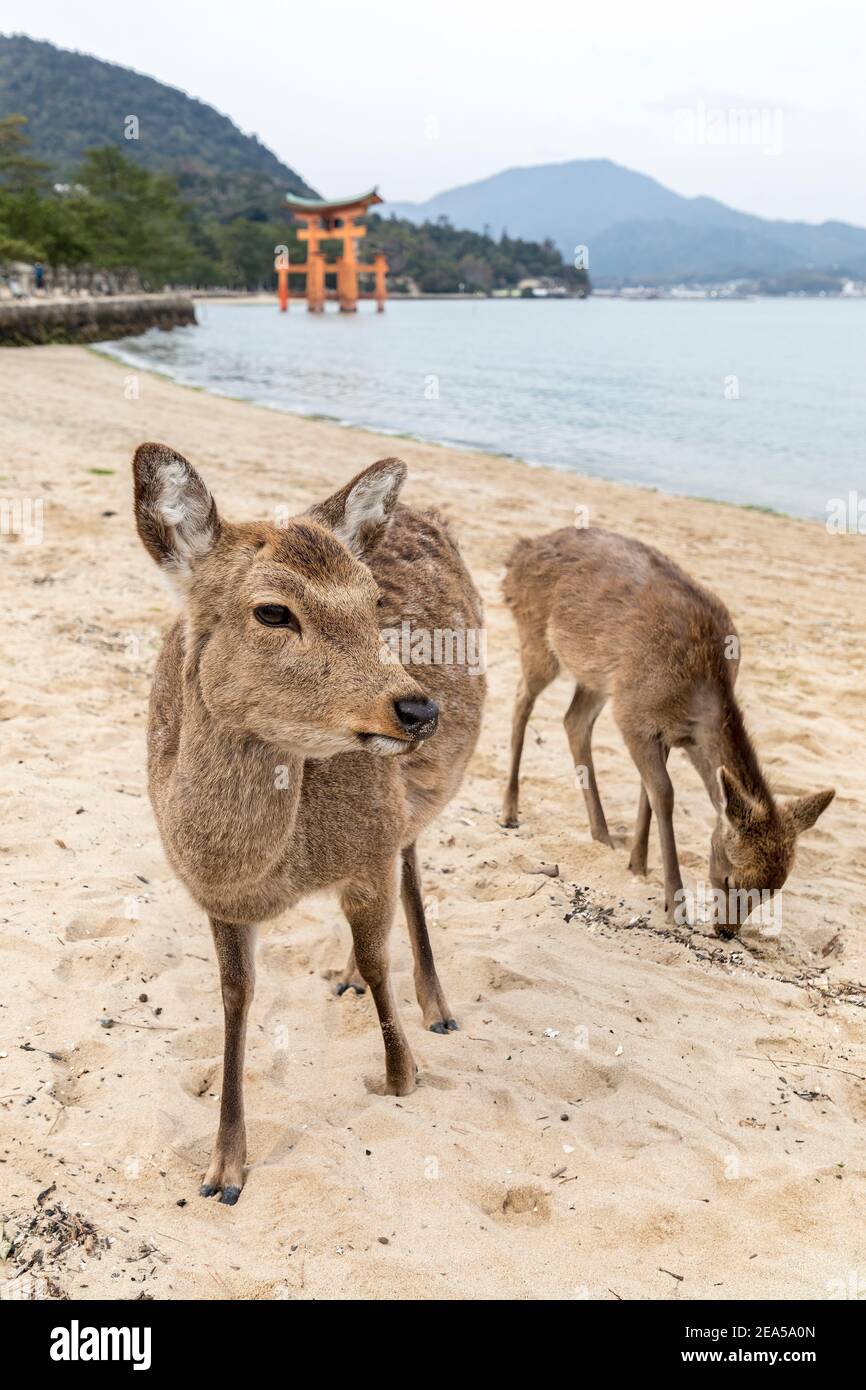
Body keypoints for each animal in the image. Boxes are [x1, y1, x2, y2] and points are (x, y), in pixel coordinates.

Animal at [132, 443, 485, 1204]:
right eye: (272, 611)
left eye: (374, 601)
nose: (418, 709)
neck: (273, 870)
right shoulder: (218, 899)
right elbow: (236, 997)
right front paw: (224, 1170)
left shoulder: (372, 839)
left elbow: (382, 956)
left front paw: (402, 1074)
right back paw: (345, 974)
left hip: (412, 804)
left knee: (413, 864)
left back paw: (437, 1004)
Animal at [501, 525, 834, 935]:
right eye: (730, 878)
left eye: (771, 892)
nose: (726, 932)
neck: (699, 693)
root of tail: (518, 553)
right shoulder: (631, 713)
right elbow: (663, 792)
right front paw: (674, 903)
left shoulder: (666, 730)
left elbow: (648, 792)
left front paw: (638, 864)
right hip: (536, 639)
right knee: (521, 701)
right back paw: (509, 811)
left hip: (596, 677)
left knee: (572, 721)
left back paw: (602, 835)